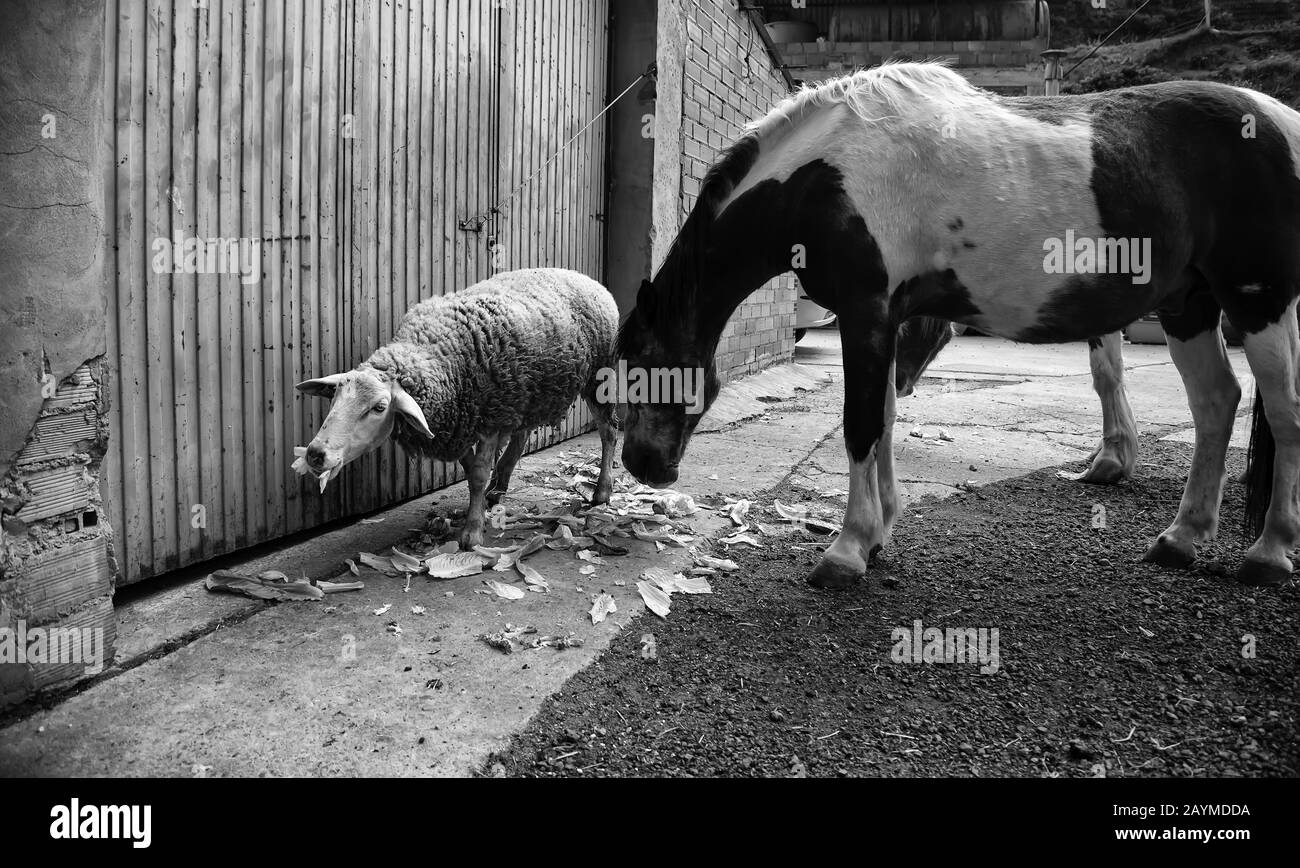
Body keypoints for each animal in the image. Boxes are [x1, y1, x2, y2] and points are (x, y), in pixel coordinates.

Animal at [616, 62, 1300, 589]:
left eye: (645, 363)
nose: (643, 465)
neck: (827, 175)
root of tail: (1281, 119)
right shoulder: (888, 320)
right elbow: (884, 418)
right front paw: (878, 532)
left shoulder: (865, 314)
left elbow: (860, 424)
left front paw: (846, 550)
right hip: (1190, 304)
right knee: (1217, 402)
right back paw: (1181, 538)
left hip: (1259, 302)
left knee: (1282, 409)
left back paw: (1268, 553)